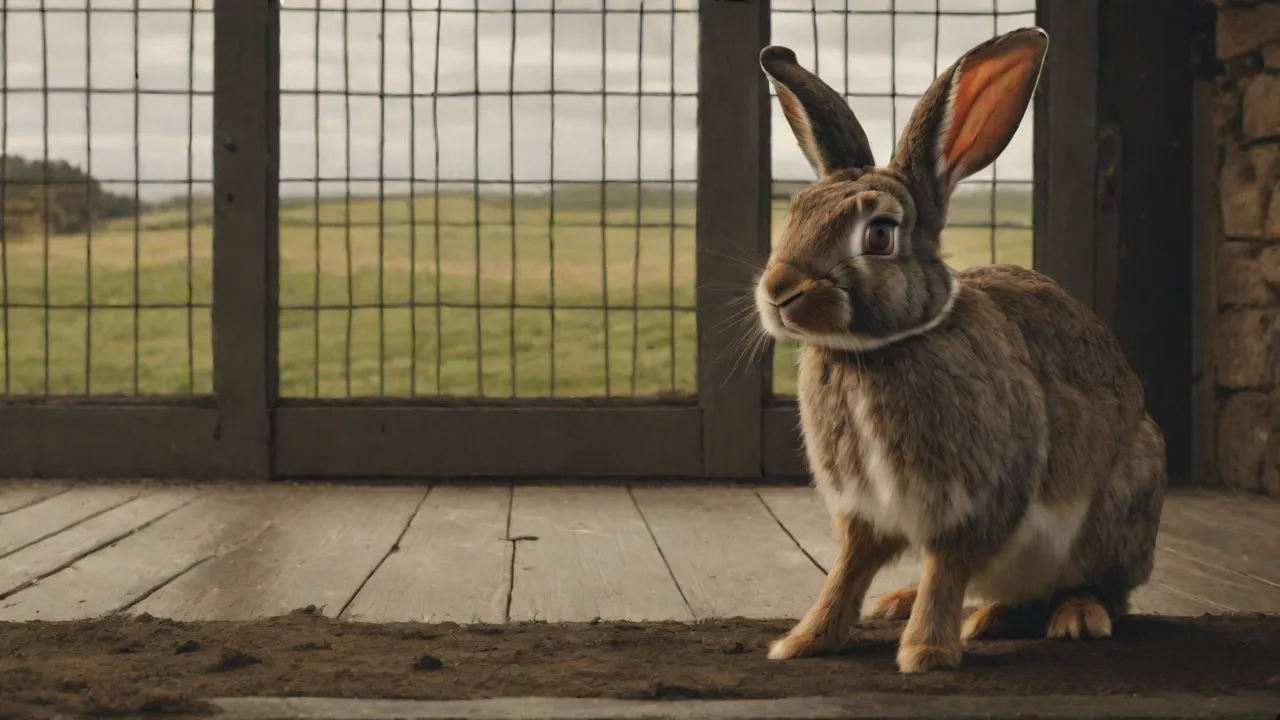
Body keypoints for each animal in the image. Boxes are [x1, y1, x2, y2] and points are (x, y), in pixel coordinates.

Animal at [755, 26, 1167, 674]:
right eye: (795, 212)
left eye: (879, 234)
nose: (778, 291)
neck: (875, 350)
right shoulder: (862, 510)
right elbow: (847, 572)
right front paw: (803, 642)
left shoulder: (973, 500)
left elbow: (946, 567)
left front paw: (926, 653)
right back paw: (915, 604)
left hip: (1119, 507)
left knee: (1102, 591)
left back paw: (1067, 617)